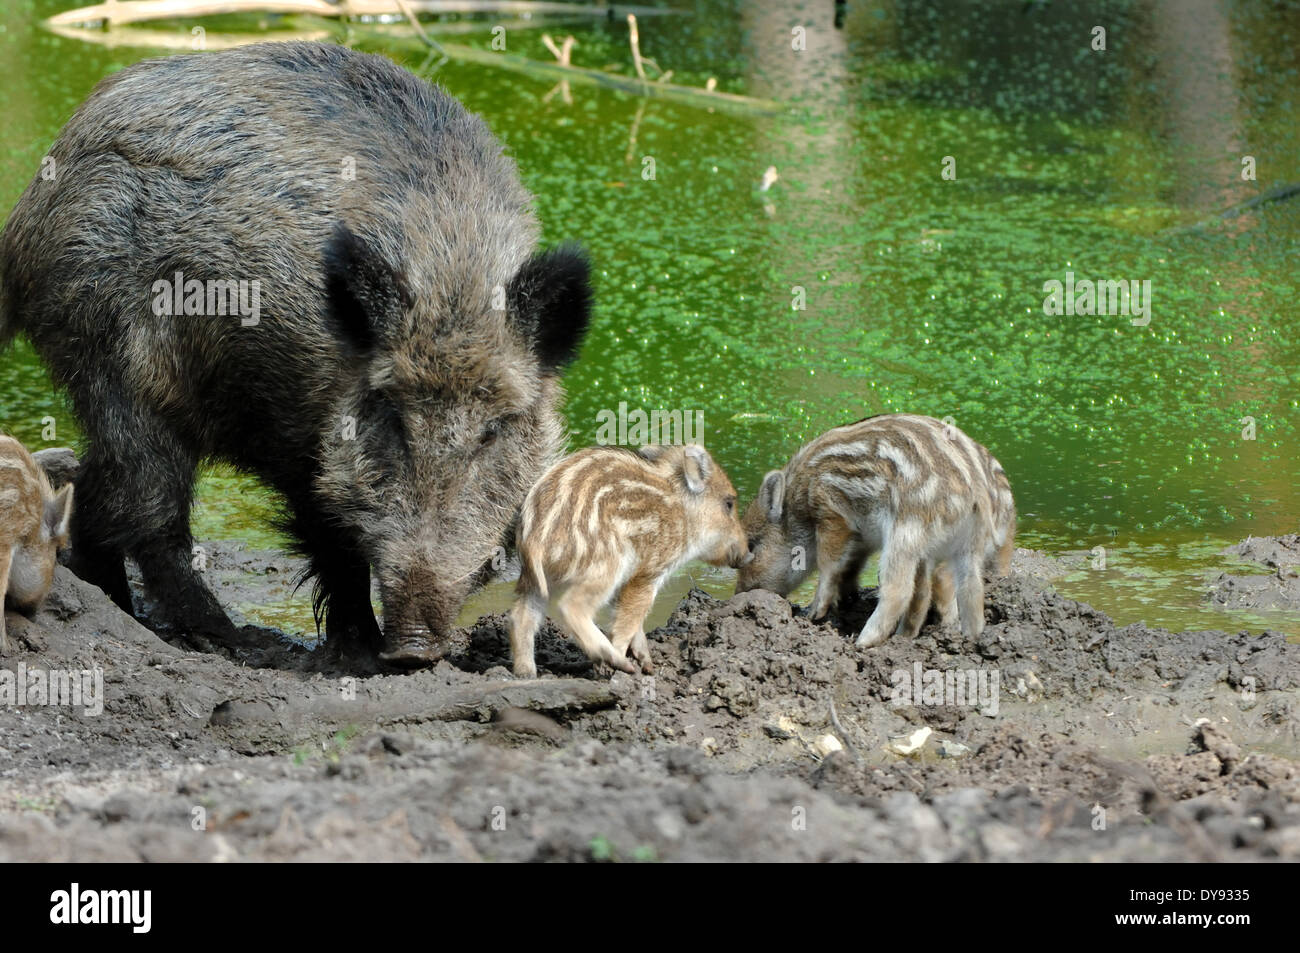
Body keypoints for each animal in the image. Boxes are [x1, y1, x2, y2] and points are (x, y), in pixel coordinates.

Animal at [508, 444, 751, 678]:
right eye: (729, 503)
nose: (748, 555)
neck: (684, 514)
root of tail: (535, 539)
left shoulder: (628, 579)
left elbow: (630, 618)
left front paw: (648, 664)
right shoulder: (649, 571)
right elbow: (630, 618)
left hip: (534, 579)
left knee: (522, 615)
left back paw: (526, 673)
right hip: (606, 565)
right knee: (571, 607)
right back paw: (618, 662)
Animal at [735, 414, 1015, 647]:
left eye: (752, 545)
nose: (738, 594)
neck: (798, 499)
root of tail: (977, 488)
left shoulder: (831, 512)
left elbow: (829, 564)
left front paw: (814, 613)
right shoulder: (861, 537)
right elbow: (851, 568)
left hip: (905, 532)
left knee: (899, 588)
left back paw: (862, 643)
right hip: (963, 544)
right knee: (964, 586)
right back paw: (964, 638)